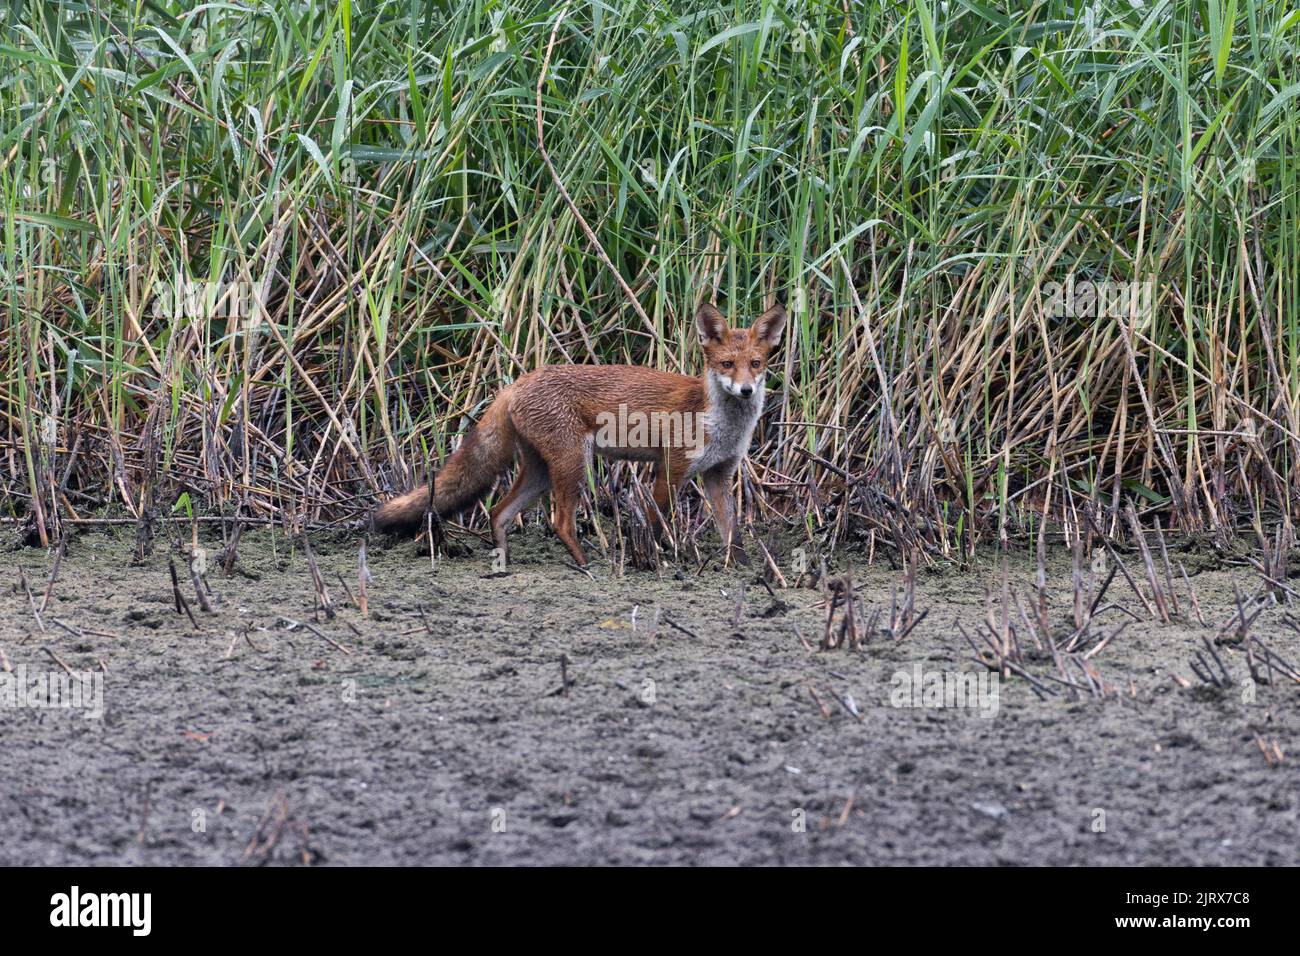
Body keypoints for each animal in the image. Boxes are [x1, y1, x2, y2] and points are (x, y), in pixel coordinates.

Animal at [371, 300, 786, 567]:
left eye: (756, 363)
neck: (719, 423)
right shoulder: (672, 469)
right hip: (573, 463)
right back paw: (586, 564)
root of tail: (519, 381)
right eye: (727, 364)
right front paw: (653, 561)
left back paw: (503, 561)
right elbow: (654, 522)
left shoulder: (720, 474)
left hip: (541, 471)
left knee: (499, 512)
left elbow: (732, 530)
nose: (745, 390)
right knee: (560, 522)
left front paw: (743, 567)